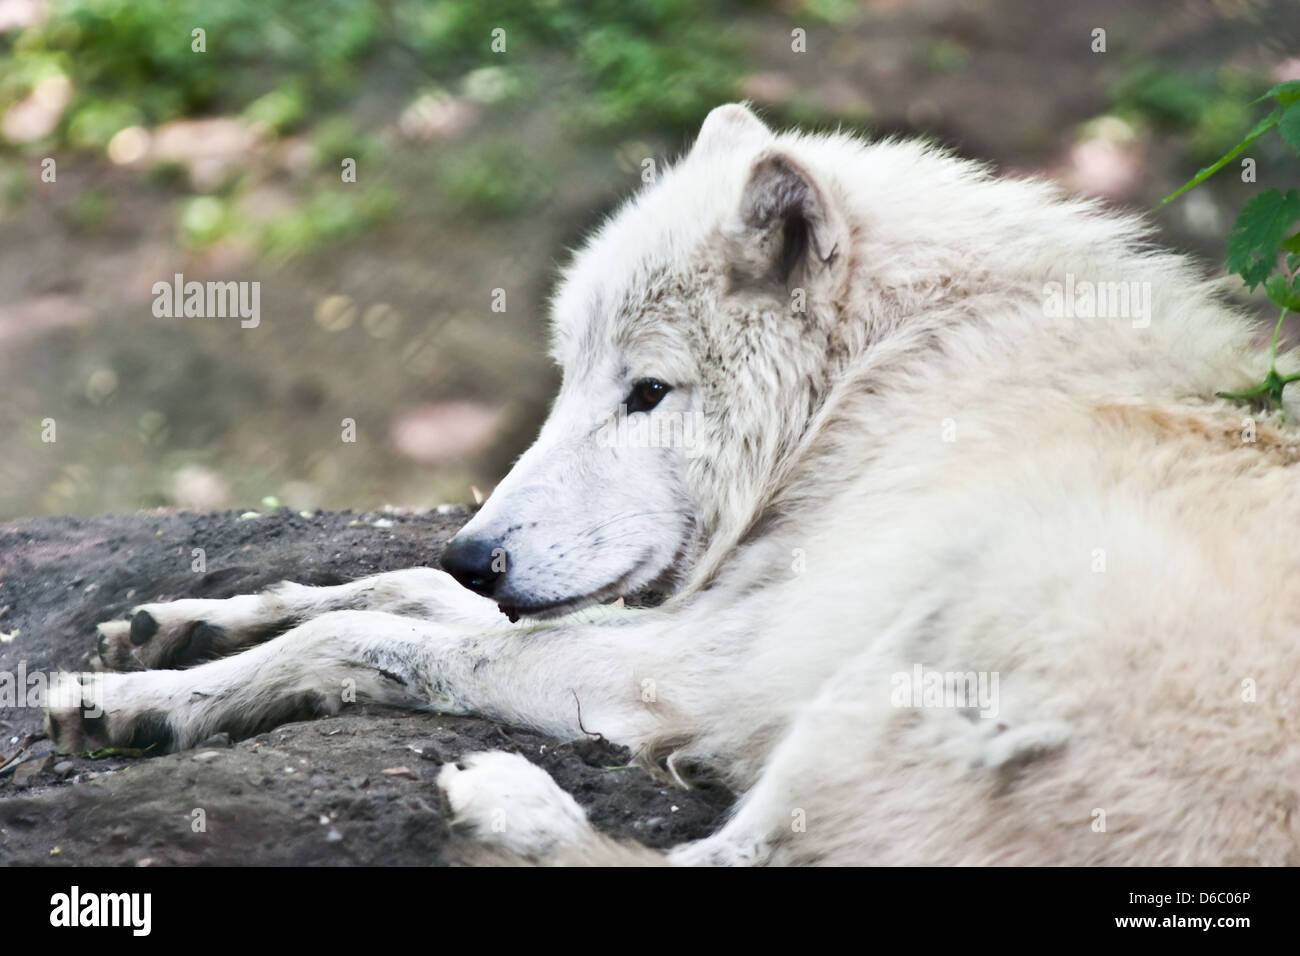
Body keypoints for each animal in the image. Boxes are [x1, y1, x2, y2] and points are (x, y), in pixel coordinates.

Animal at [45, 104, 1300, 865]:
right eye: (568, 375)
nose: (478, 551)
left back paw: (515, 802)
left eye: (646, 391)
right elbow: (391, 592)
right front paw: (180, 623)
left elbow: (385, 637)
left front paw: (139, 702)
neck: (893, 381)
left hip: (941, 634)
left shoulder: (721, 654)